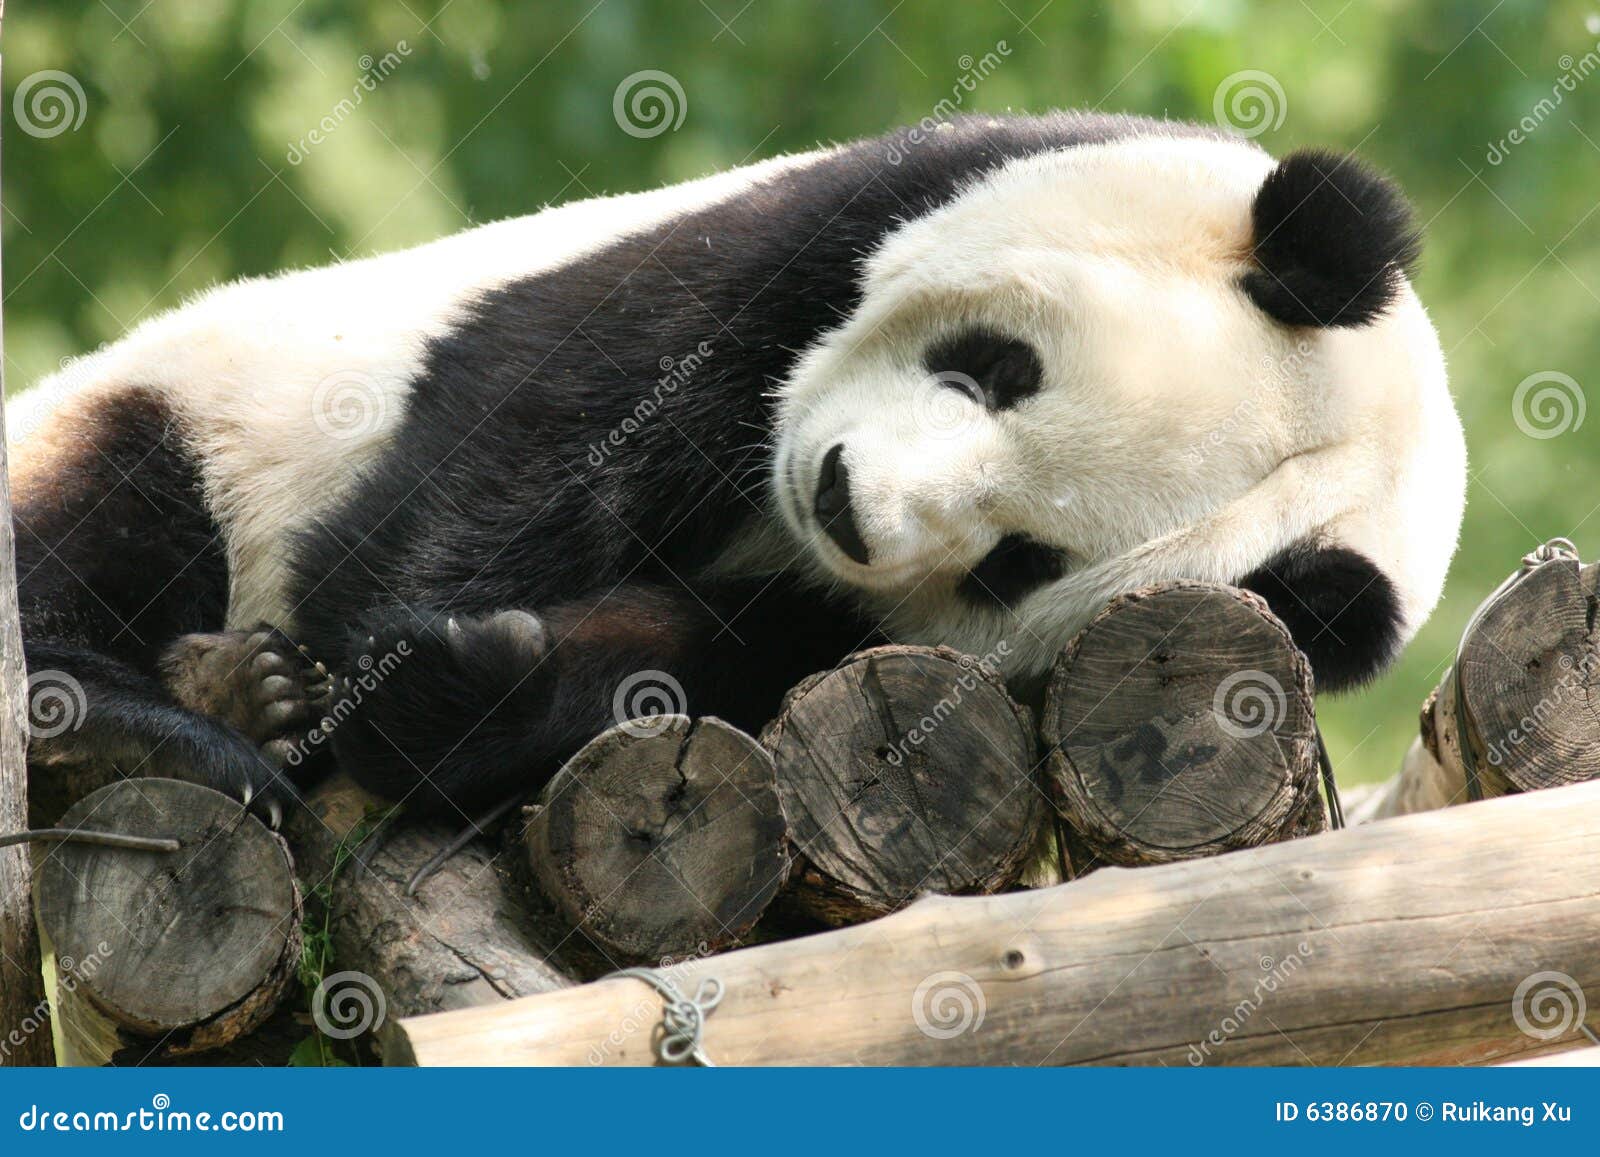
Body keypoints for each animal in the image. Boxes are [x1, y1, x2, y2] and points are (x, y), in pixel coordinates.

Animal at [7, 111, 1466, 828]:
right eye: (995, 369)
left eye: (1019, 562)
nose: (845, 500)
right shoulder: (867, 207)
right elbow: (556, 416)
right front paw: (368, 664)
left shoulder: (835, 624)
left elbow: (692, 659)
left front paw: (454, 686)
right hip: (183, 399)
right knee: (109, 504)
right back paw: (151, 716)